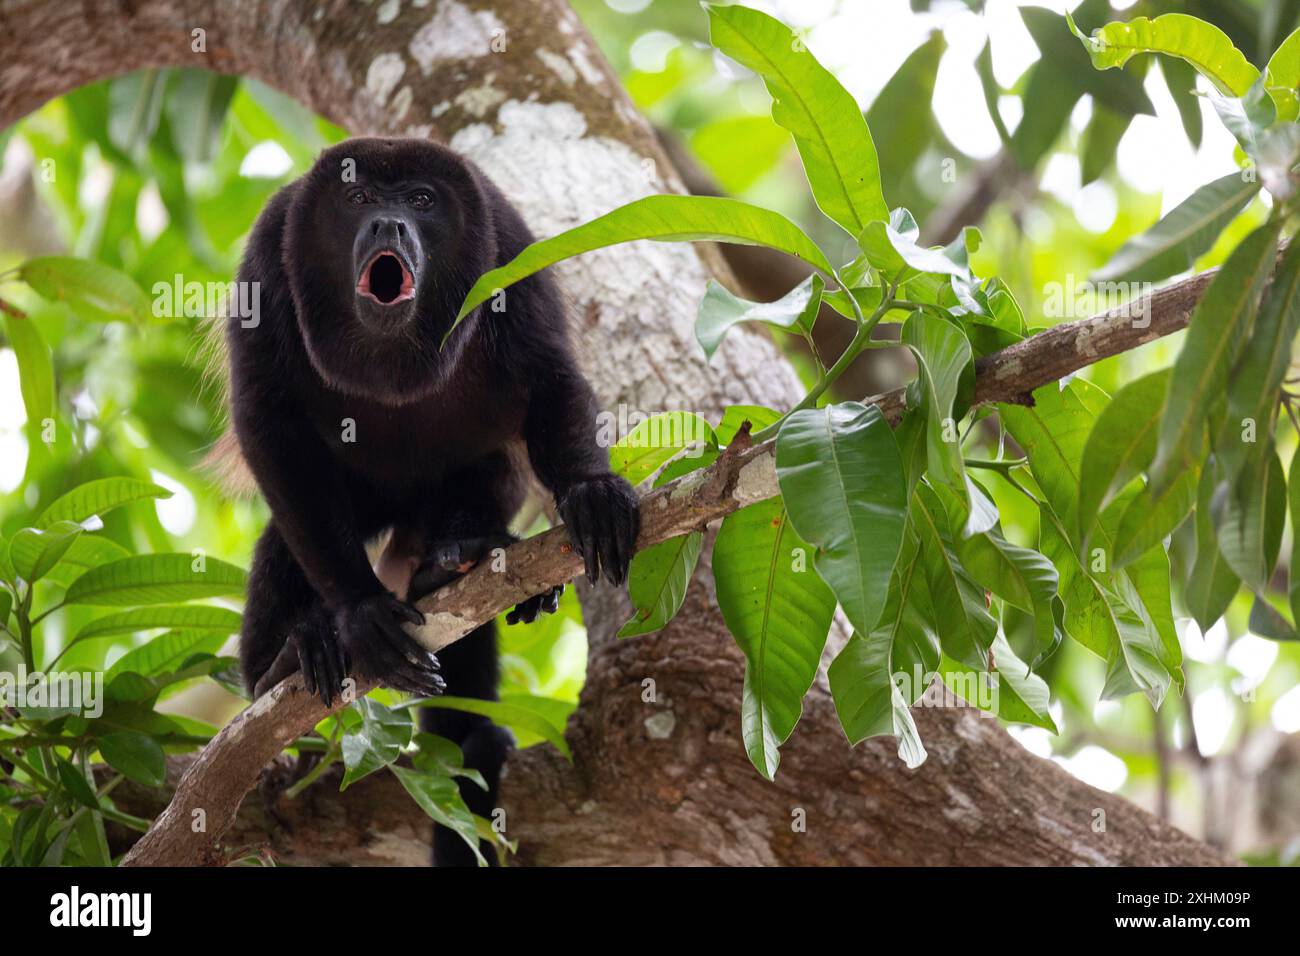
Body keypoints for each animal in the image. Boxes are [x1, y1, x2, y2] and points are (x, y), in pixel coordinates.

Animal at [220, 137, 640, 866]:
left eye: (421, 200)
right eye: (358, 197)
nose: (389, 224)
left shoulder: (507, 241)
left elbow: (547, 373)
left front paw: (588, 491)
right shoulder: (268, 247)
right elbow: (268, 420)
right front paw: (357, 614)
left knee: (485, 472)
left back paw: (459, 558)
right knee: (285, 543)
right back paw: (285, 659)